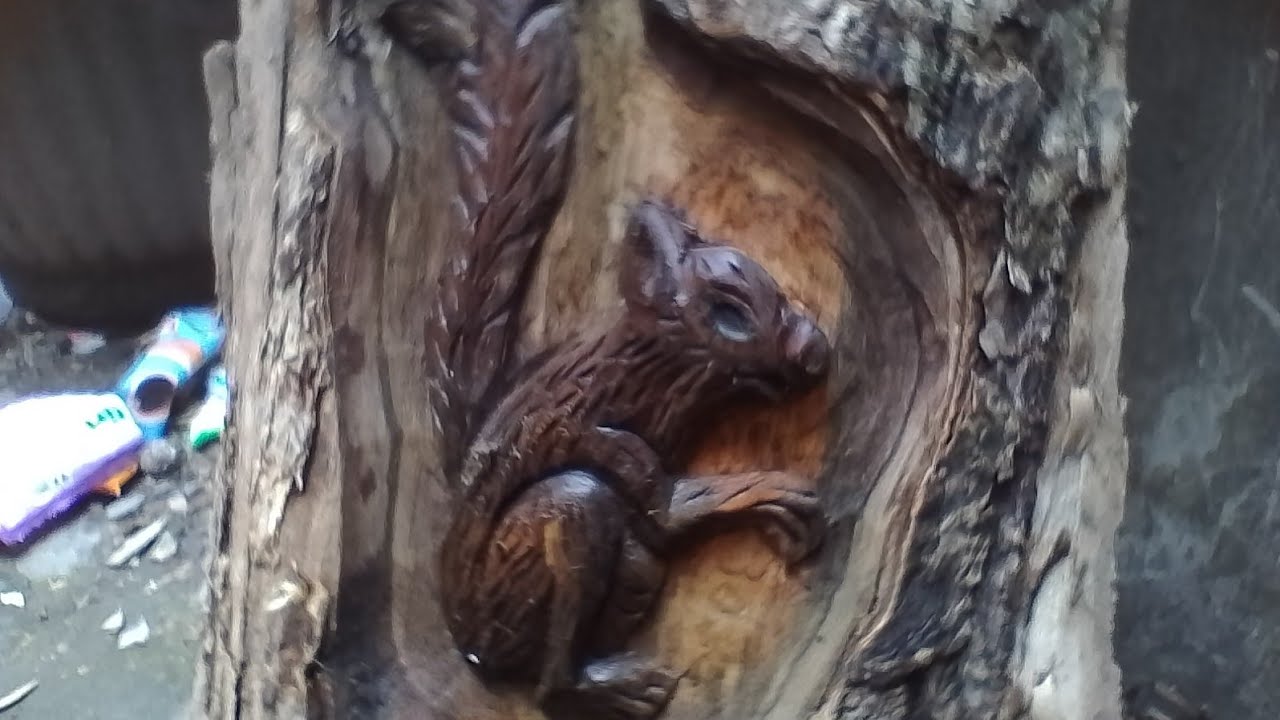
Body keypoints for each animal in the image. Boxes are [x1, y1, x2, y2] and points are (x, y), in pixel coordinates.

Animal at [383, 1, 832, 718]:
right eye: (730, 311)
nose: (815, 350)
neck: (643, 372)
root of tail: (468, 635)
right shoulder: (601, 435)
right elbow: (673, 508)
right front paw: (781, 498)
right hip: (564, 519)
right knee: (548, 680)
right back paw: (614, 689)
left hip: (632, 571)